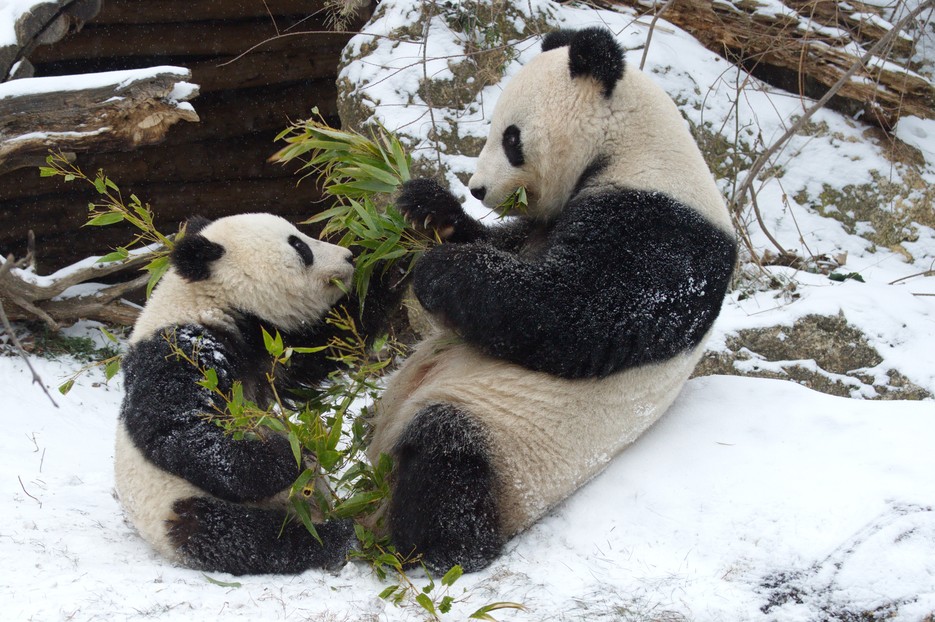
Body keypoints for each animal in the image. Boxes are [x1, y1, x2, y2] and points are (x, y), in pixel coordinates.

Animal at [114, 212, 394, 575]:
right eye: (300, 246)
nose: (348, 257)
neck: (209, 301)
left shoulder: (271, 346)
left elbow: (328, 344)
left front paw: (397, 251)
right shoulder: (179, 350)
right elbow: (182, 431)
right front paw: (293, 454)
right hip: (178, 507)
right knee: (241, 536)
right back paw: (333, 538)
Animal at [366, 27, 738, 573]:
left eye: (511, 138)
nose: (477, 188)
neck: (631, 144)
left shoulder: (664, 231)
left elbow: (571, 312)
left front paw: (437, 270)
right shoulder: (552, 221)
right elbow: (505, 245)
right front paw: (428, 207)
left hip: (512, 446)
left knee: (447, 460)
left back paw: (429, 548)